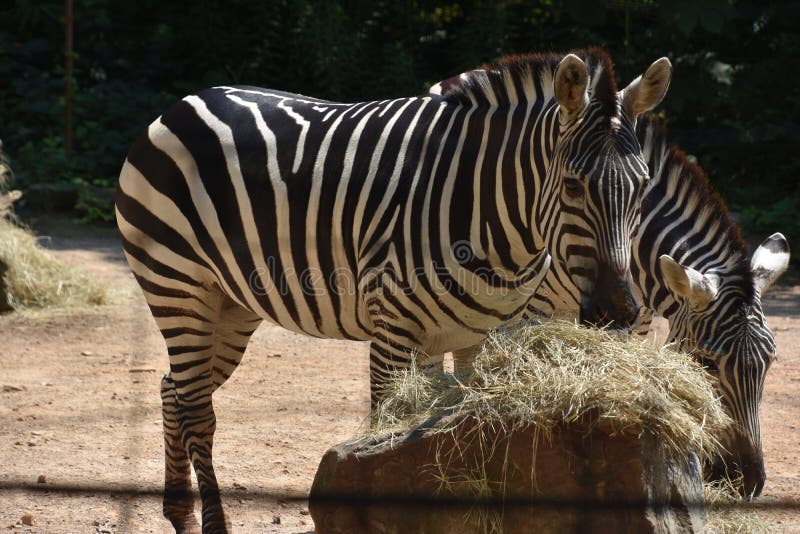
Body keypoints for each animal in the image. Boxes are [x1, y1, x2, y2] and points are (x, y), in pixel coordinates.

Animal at [115, 48, 671, 532]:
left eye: (643, 186)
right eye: (574, 186)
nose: (619, 312)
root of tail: (182, 104)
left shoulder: (478, 335)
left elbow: (462, 431)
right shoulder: (392, 330)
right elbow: (384, 431)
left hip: (230, 305)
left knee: (172, 390)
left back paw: (180, 515)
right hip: (179, 288)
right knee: (198, 411)